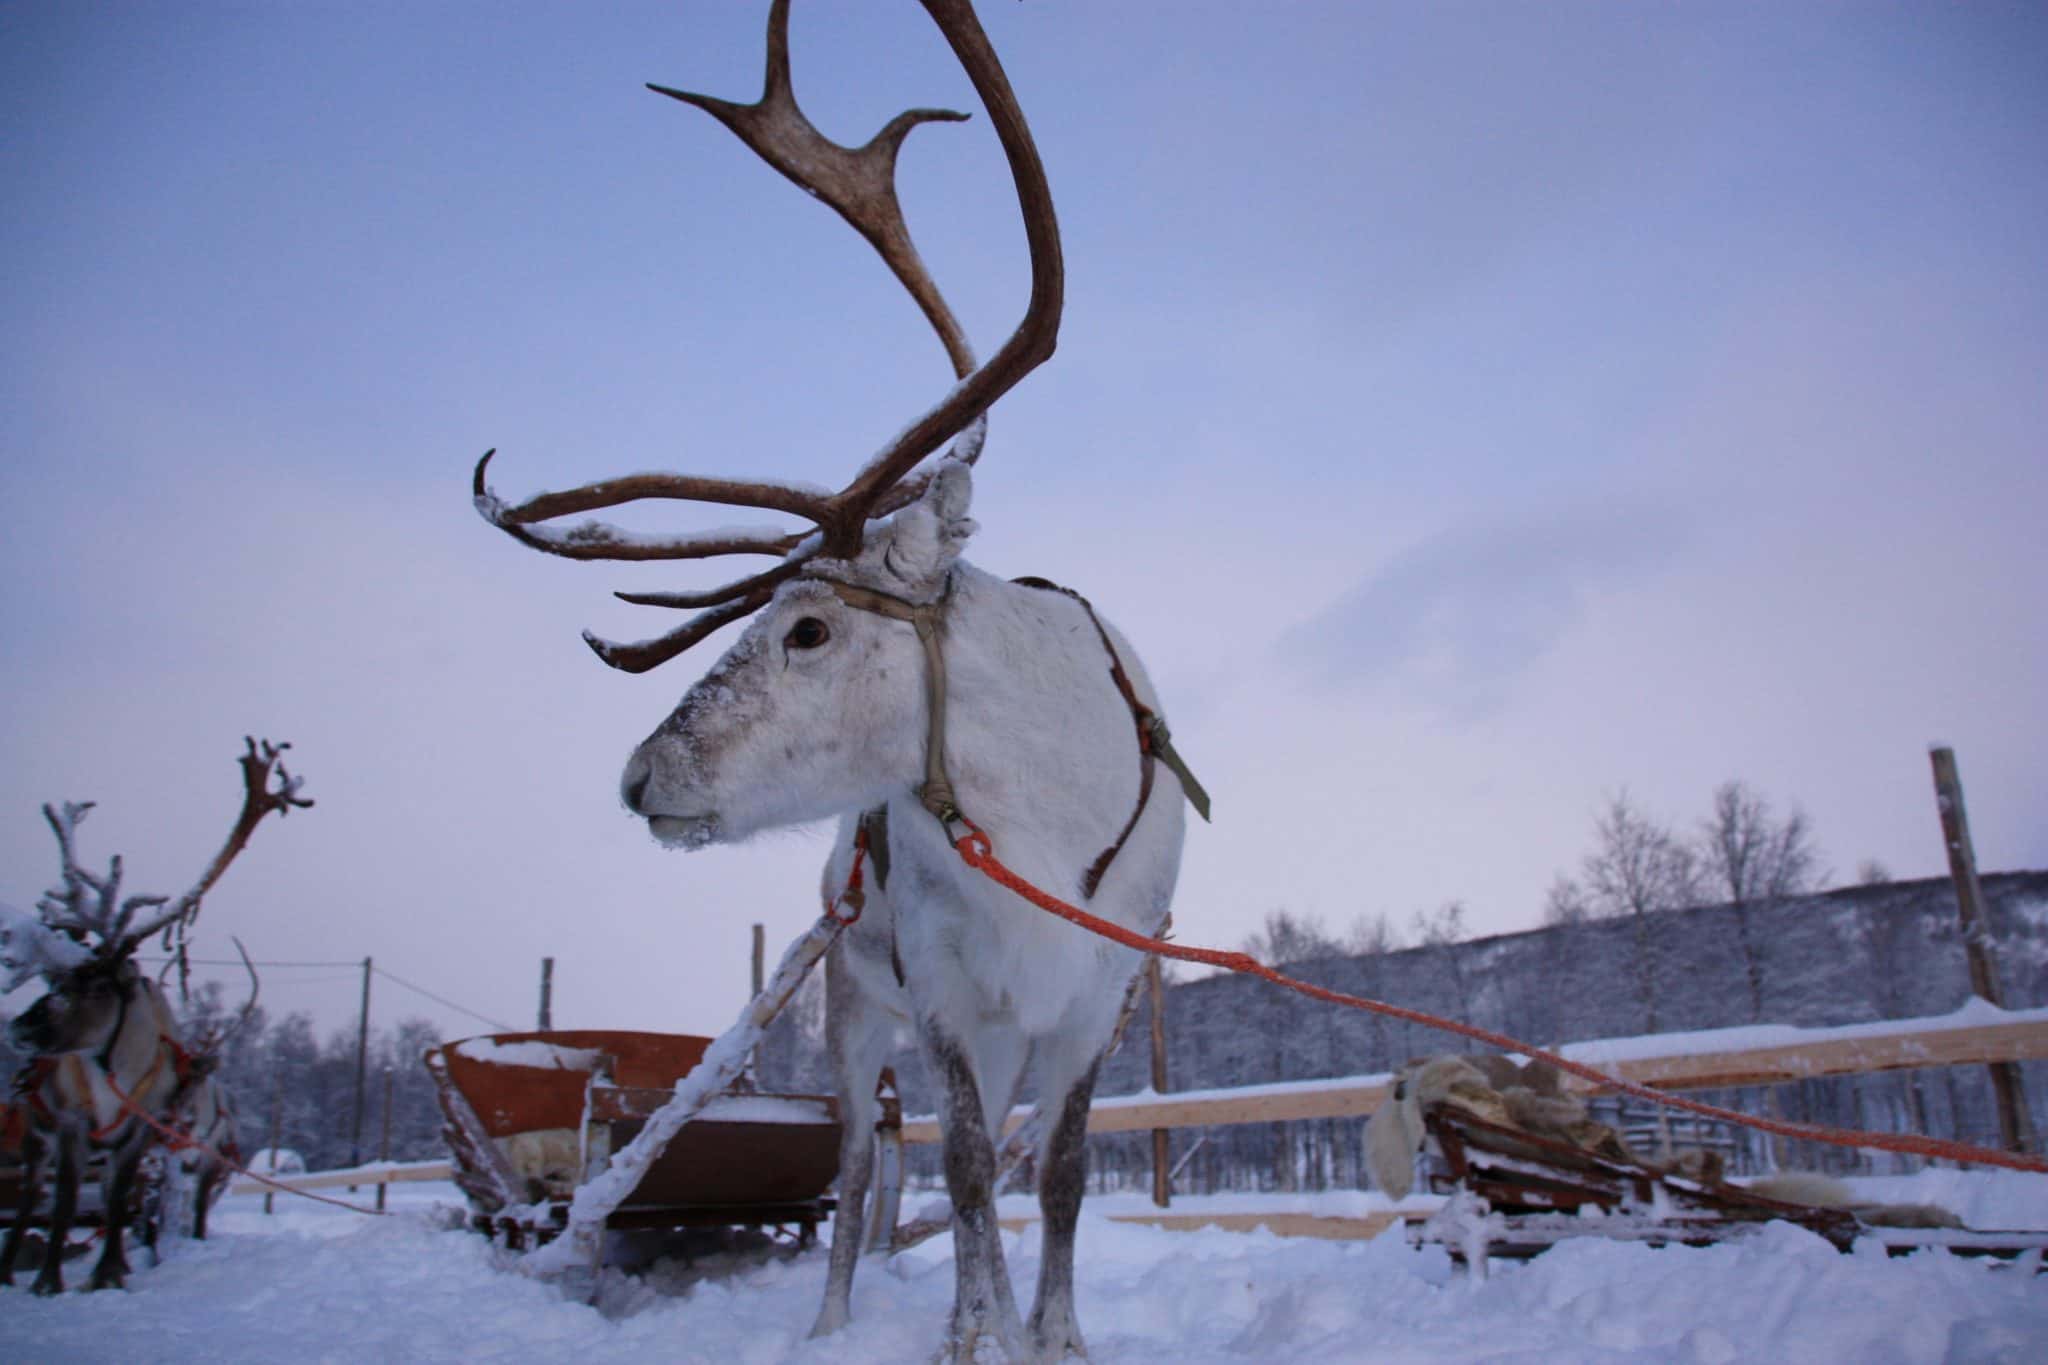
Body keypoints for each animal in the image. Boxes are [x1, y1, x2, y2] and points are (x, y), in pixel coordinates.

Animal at [0, 739, 308, 1294]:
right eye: (55, 983)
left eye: (100, 985)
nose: (20, 1027)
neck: (114, 1076)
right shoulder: (73, 1126)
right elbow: (65, 1204)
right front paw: (51, 1281)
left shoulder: (149, 1137)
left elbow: (123, 1197)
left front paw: (109, 1274)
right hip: (38, 1136)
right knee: (37, 1197)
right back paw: (16, 1266)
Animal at [472, 3, 1205, 1357]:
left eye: (807, 628)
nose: (641, 774)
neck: (1043, 808)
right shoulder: (943, 992)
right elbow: (957, 1169)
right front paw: (969, 1338)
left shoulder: (1094, 991)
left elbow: (1059, 1174)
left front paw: (1052, 1337)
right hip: (848, 1011)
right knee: (864, 1166)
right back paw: (826, 1325)